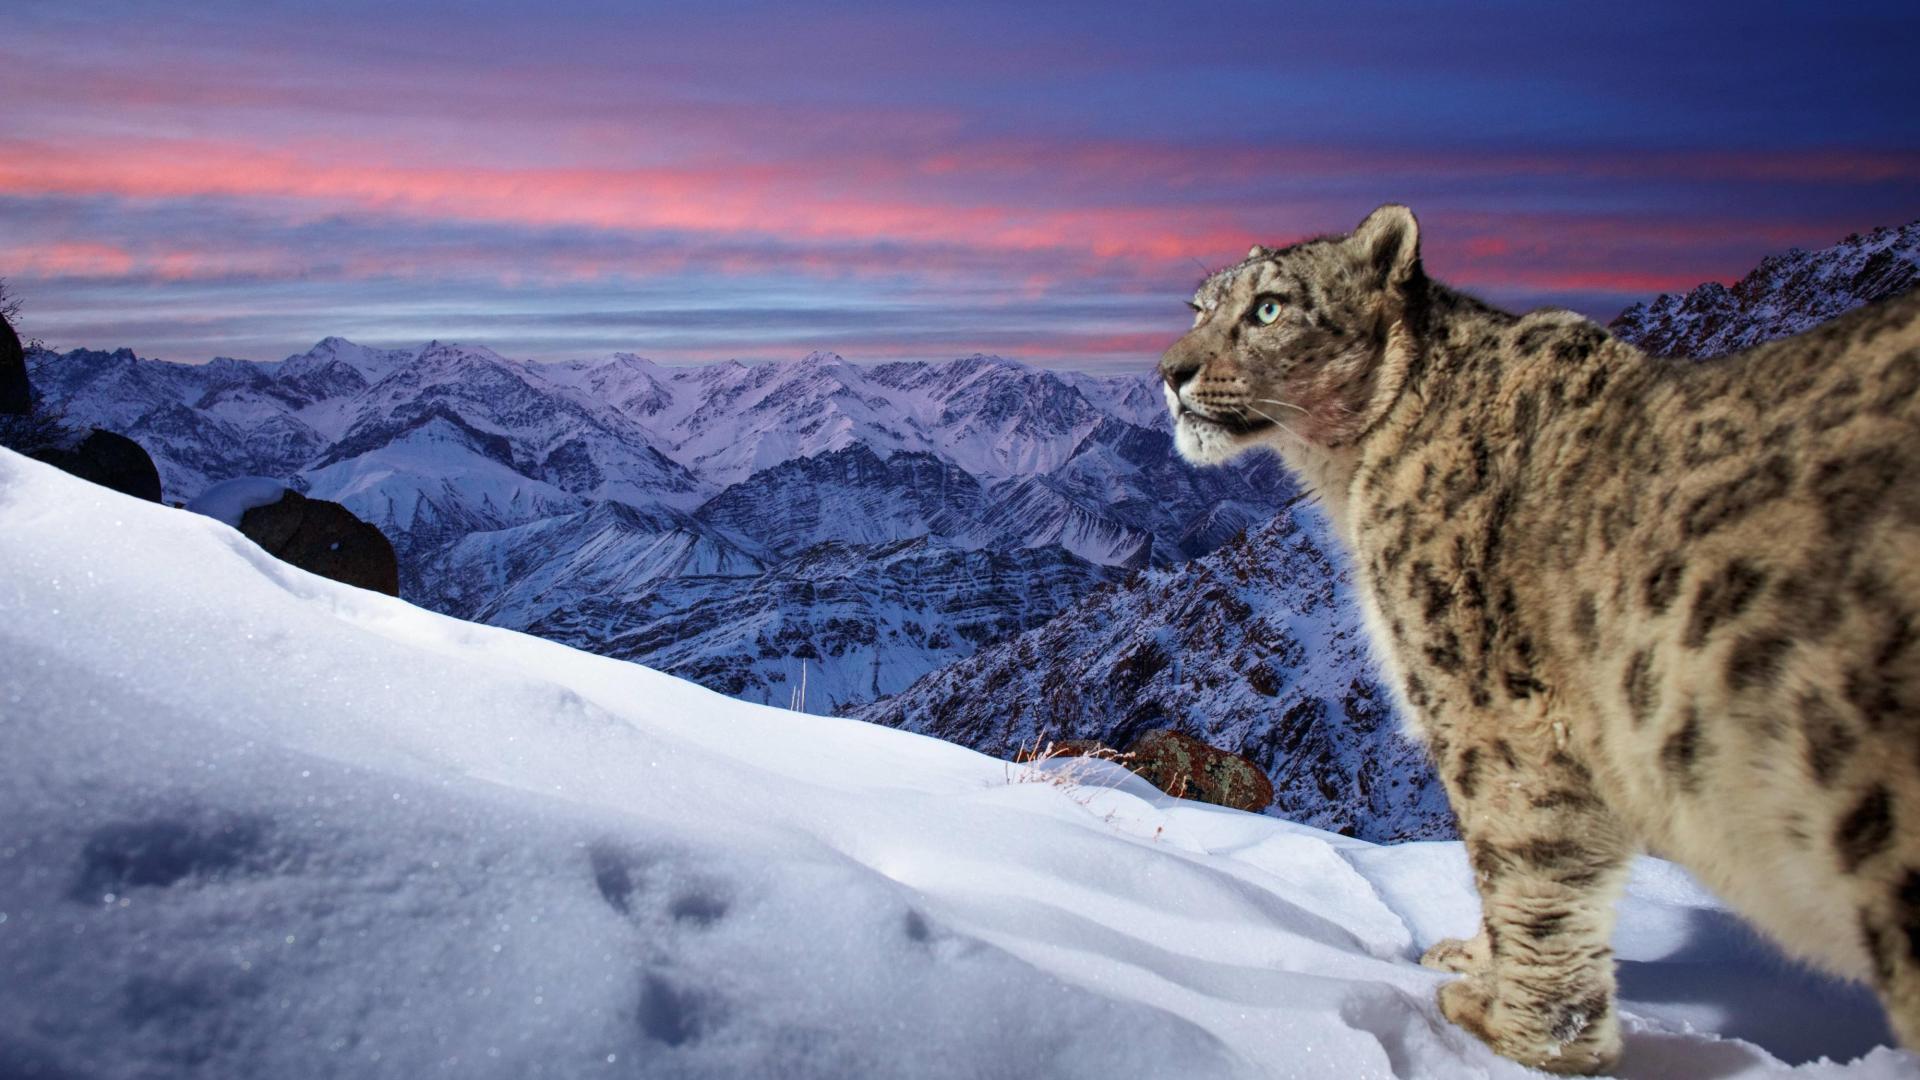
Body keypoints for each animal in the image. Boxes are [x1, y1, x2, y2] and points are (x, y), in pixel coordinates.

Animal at [1161, 204, 1920, 1073]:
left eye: (1269, 308)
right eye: (1200, 306)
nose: (1170, 371)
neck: (1349, 479)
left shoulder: (1489, 710)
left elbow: (1524, 866)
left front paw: (1513, 1033)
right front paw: (1474, 964)